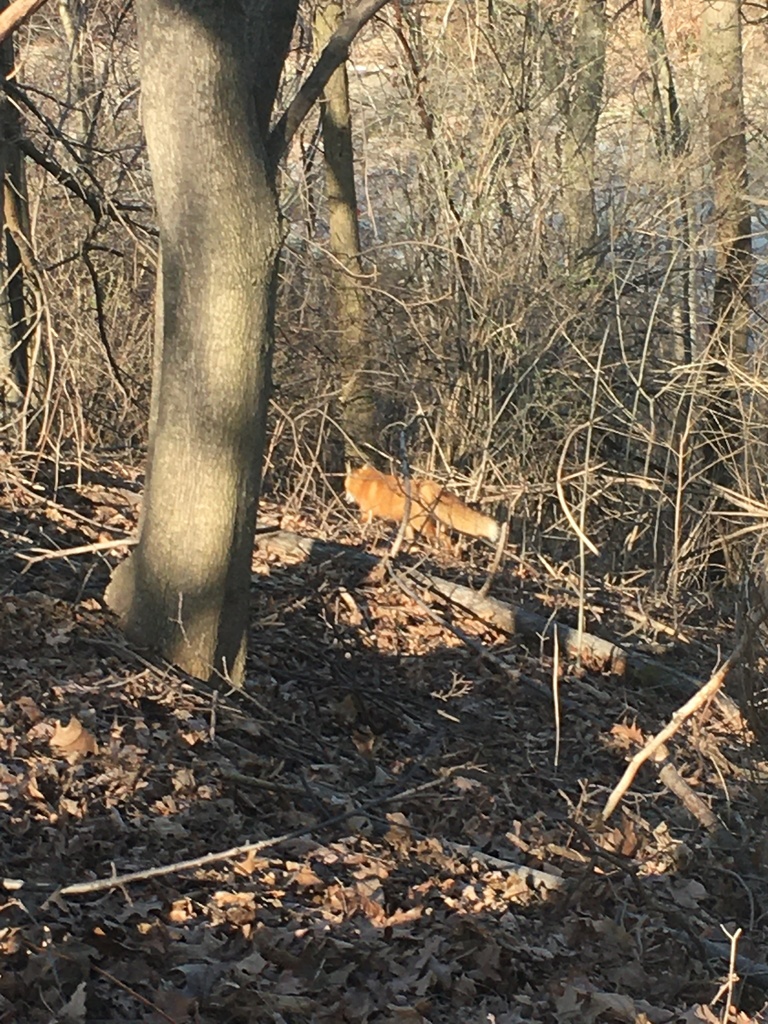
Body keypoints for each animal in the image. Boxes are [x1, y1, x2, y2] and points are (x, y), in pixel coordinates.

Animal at [345, 465, 500, 544]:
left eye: (345, 487)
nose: (346, 499)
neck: (365, 483)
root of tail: (430, 485)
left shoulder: (367, 513)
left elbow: (359, 522)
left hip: (421, 524)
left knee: (443, 538)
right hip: (412, 523)